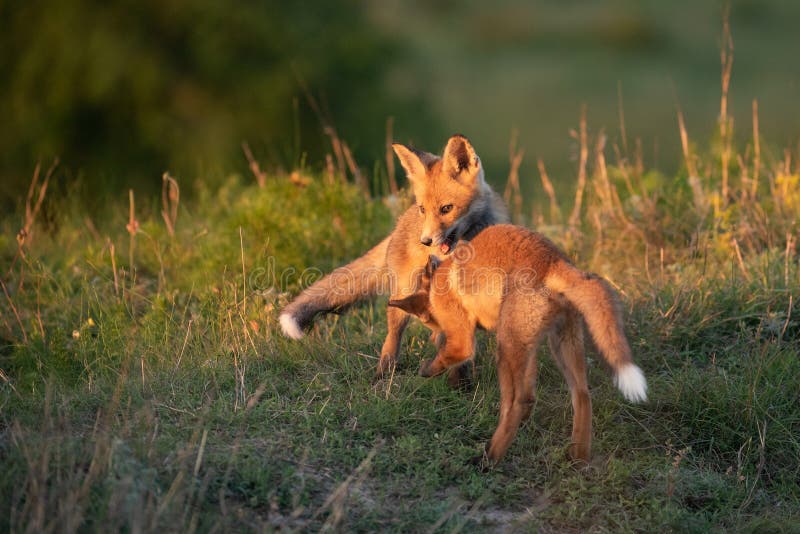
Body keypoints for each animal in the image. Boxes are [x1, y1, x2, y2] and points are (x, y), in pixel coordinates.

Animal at [279, 134, 509, 380]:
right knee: (393, 336)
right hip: (403, 292)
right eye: (424, 209)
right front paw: (459, 379)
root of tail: (399, 224)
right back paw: (383, 374)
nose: (425, 241)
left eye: (447, 208)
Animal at [387, 224, 648, 464]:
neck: (440, 278)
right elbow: (531, 390)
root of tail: (553, 260)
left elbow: (453, 354)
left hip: (506, 348)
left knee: (516, 404)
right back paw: (578, 459)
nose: (434, 336)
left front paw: (427, 369)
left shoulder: (463, 339)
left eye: (428, 320)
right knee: (581, 397)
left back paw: (489, 457)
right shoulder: (529, 350)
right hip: (559, 345)